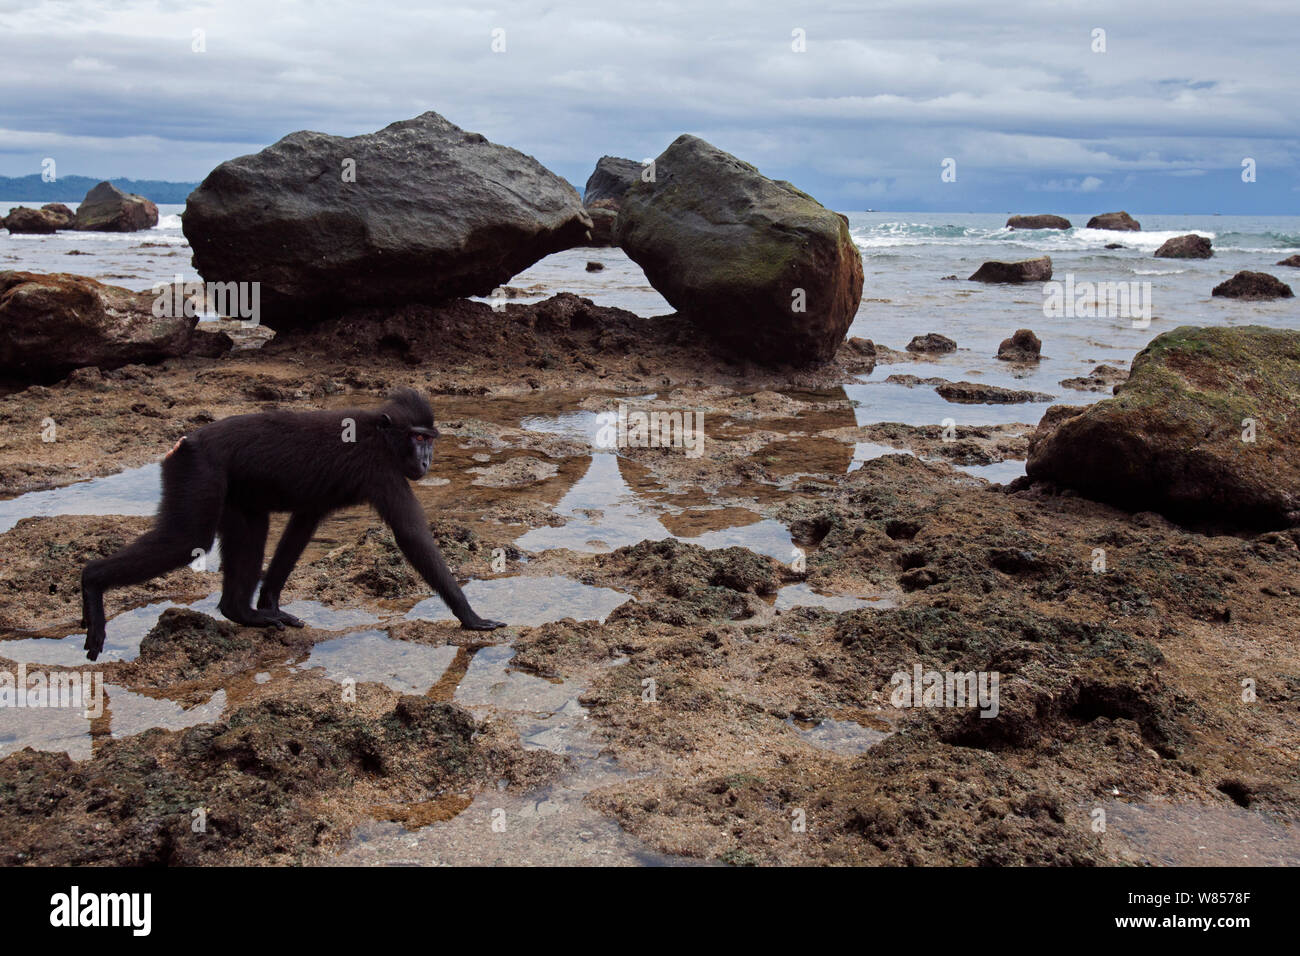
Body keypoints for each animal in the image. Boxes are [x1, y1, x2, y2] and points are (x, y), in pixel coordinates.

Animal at [80, 387, 505, 661]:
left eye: (429, 439)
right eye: (417, 439)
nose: (427, 460)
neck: (381, 436)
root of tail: (184, 443)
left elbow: (302, 525)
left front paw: (271, 602)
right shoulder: (382, 472)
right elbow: (412, 536)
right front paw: (471, 618)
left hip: (232, 488)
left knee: (251, 528)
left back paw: (242, 612)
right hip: (198, 473)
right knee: (187, 540)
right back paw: (92, 581)